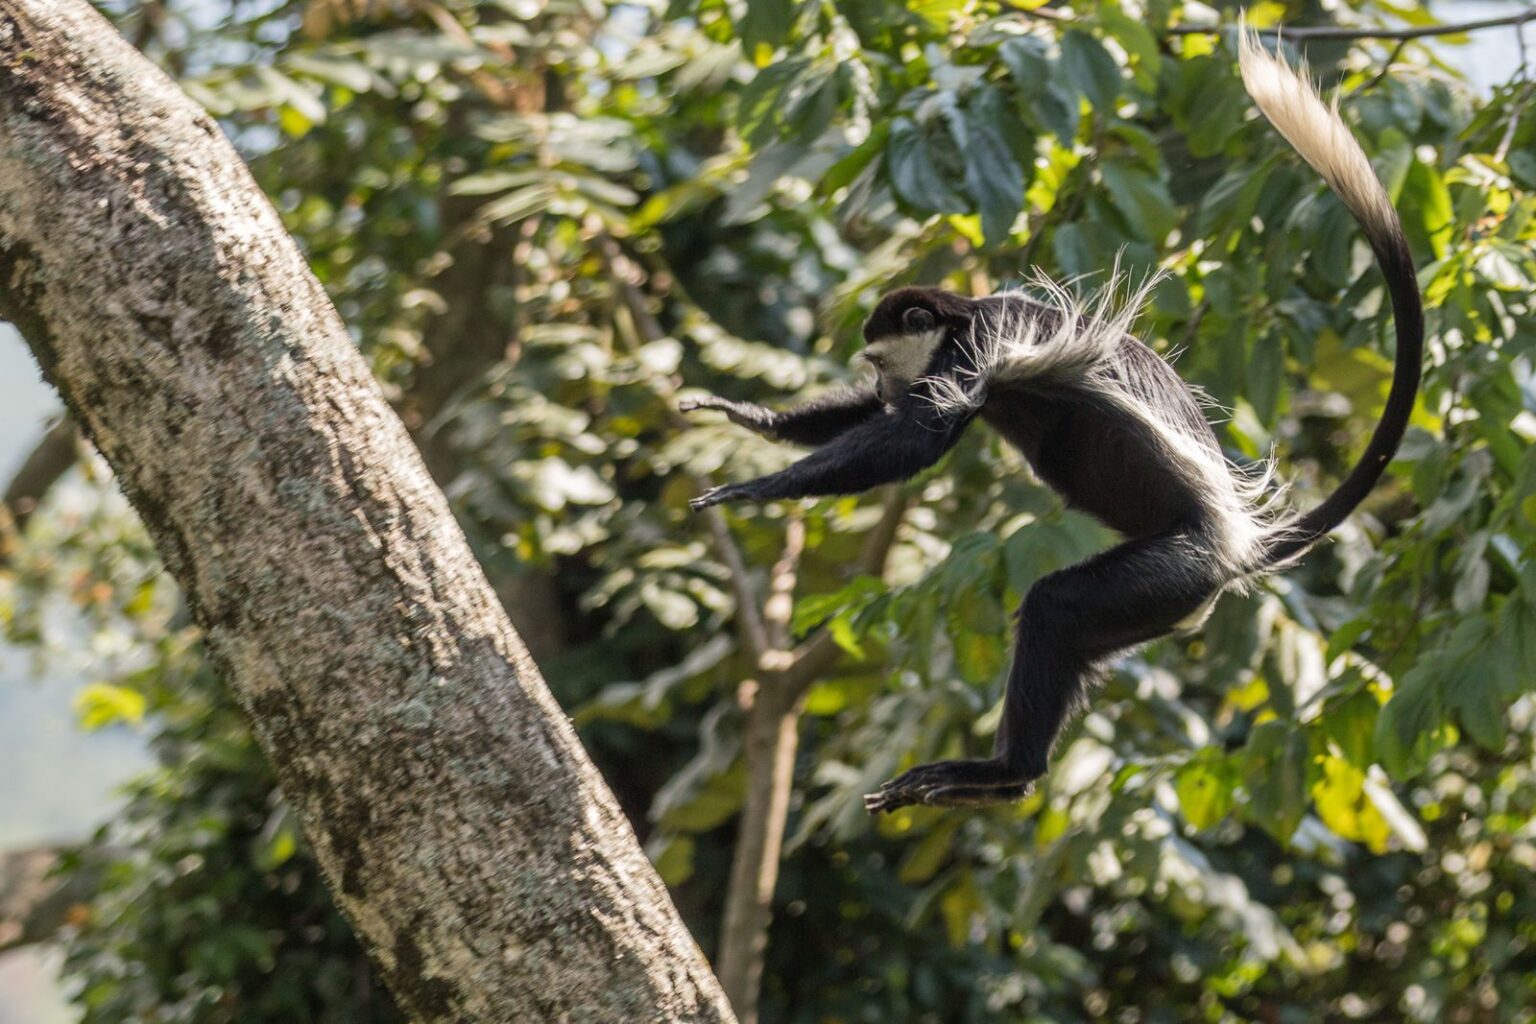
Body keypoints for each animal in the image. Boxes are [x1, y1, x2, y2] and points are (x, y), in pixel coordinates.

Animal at [679, 31, 1423, 814]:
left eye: (879, 359)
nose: (880, 383)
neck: (960, 319)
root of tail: (1237, 543)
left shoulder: (979, 349)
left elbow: (915, 438)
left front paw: (754, 488)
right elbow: (890, 424)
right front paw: (753, 418)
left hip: (1168, 572)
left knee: (1055, 609)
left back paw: (1001, 769)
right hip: (1161, 603)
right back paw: (997, 780)